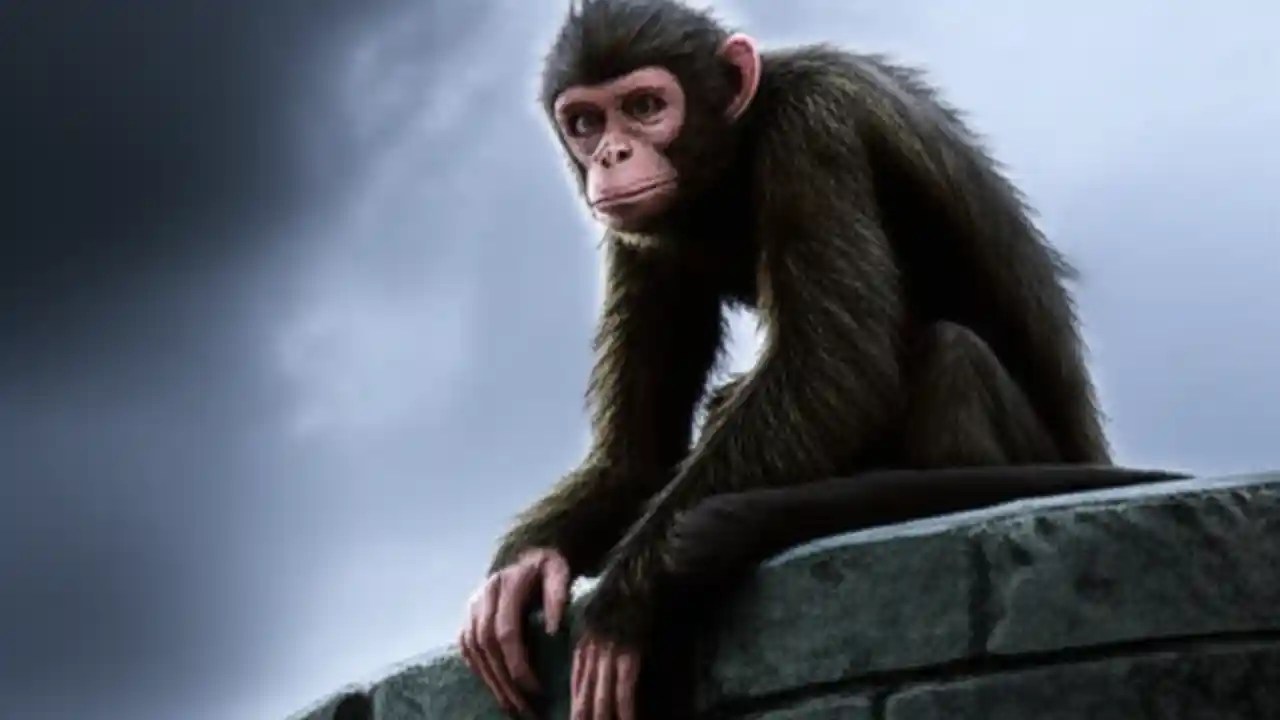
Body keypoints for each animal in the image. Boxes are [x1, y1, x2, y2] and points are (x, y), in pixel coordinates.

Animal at [456, 1, 1148, 718]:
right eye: (586, 122)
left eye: (645, 106)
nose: (612, 153)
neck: (738, 142)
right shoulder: (638, 241)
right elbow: (638, 453)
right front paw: (524, 567)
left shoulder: (811, 133)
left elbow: (832, 371)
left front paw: (626, 601)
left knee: (949, 355)